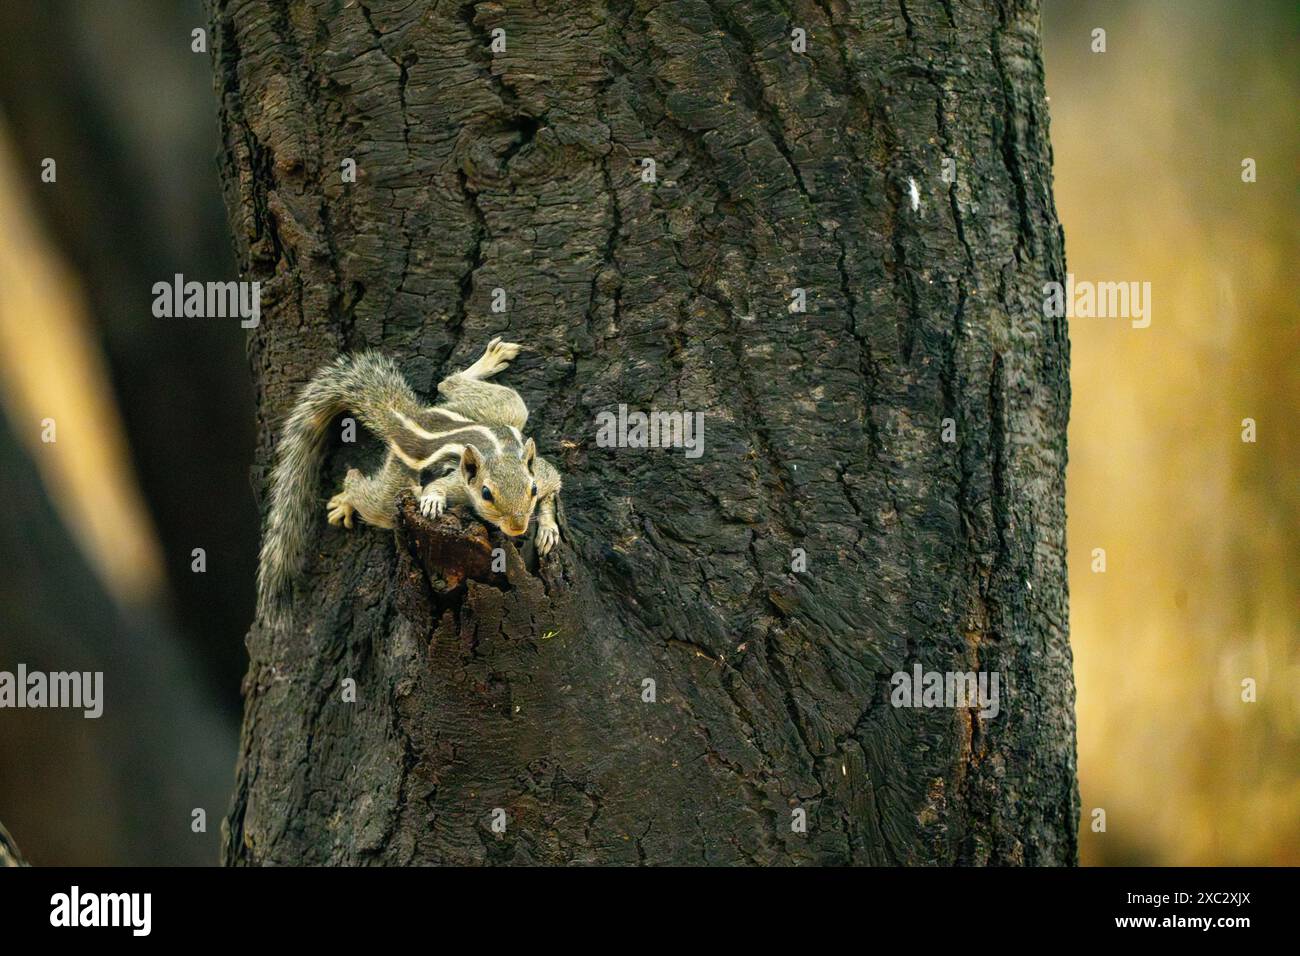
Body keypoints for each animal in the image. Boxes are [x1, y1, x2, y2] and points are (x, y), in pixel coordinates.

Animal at [256, 337, 561, 627]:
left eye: (532, 489)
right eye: (486, 493)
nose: (517, 527)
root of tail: (409, 421)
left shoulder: (541, 473)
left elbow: (555, 482)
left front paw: (548, 529)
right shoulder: (459, 485)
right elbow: (438, 487)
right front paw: (432, 501)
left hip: (504, 409)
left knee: (455, 385)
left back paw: (490, 361)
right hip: (395, 483)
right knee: (367, 490)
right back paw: (346, 499)